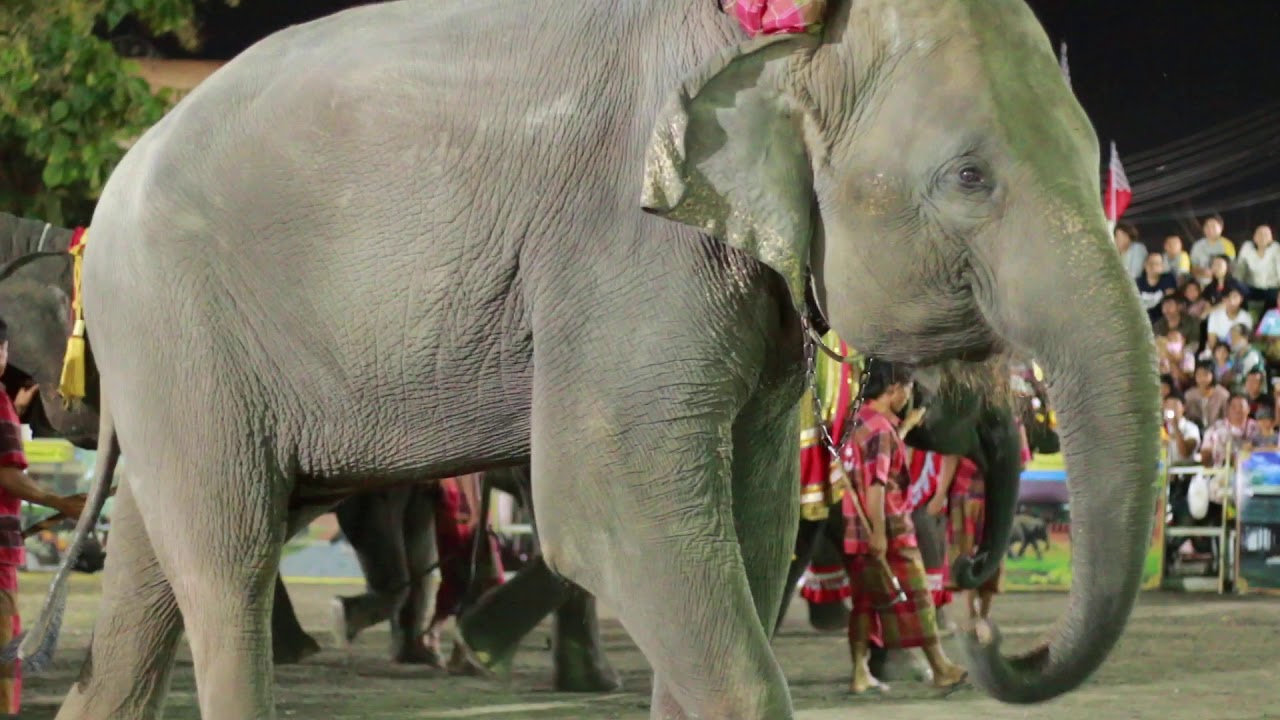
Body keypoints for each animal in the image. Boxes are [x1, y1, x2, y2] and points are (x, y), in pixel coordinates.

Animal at [21, 1, 1161, 718]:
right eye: (969, 177)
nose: (986, 620)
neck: (774, 46)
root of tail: (111, 190)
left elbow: (743, 527)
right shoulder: (625, 245)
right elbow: (609, 506)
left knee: (153, 579)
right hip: (175, 326)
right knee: (229, 563)